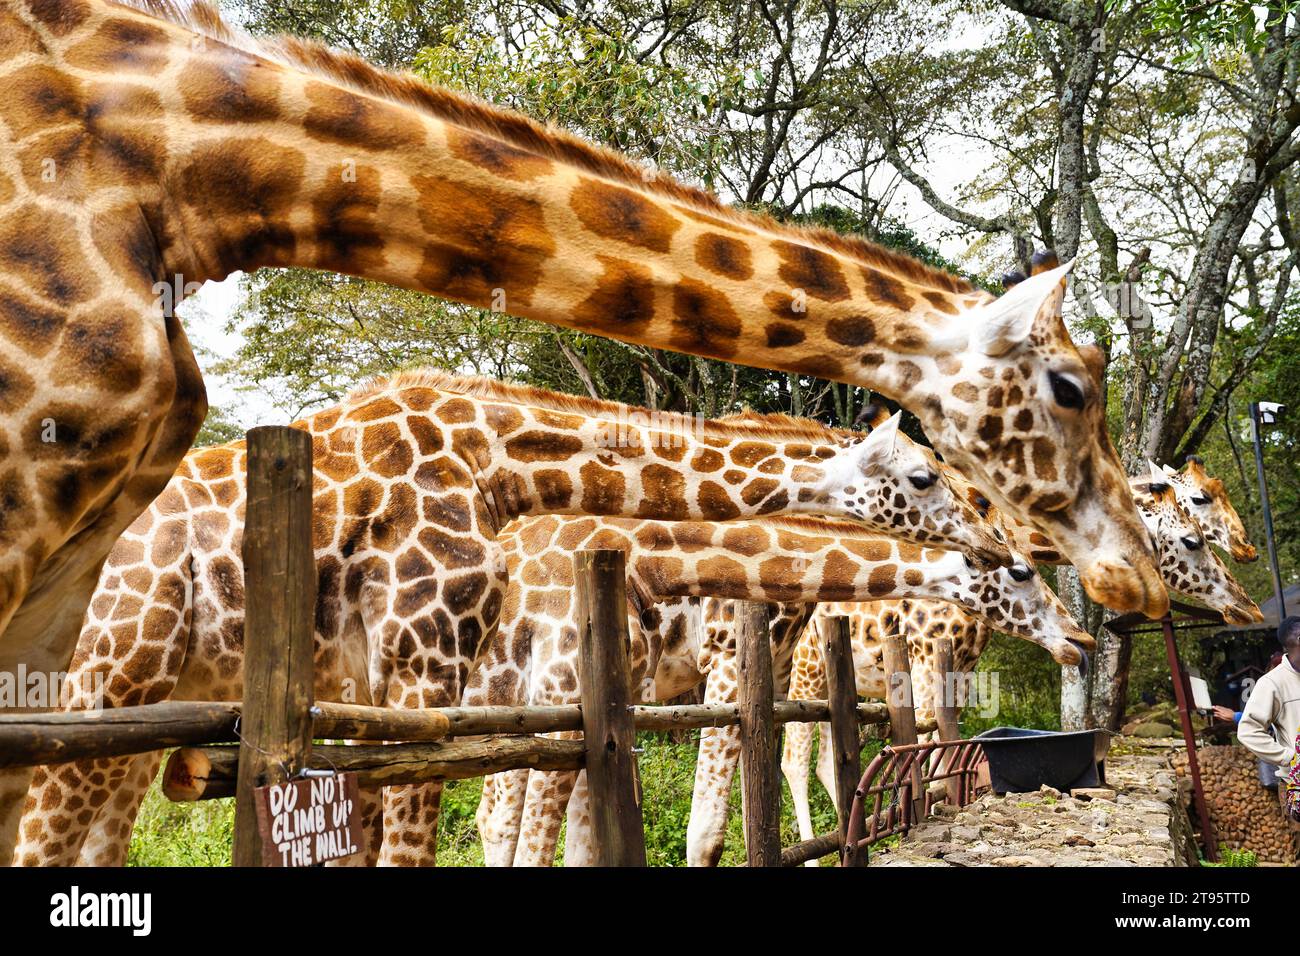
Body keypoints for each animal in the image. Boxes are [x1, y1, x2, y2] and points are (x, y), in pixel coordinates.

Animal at [12, 368, 1013, 866]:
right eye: (925, 476)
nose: (999, 547)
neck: (493, 456)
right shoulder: (430, 665)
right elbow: (699, 827)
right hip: (108, 675)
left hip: (157, 702)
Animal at [468, 510, 1093, 866]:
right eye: (1022, 571)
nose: (1081, 640)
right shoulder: (726, 666)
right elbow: (707, 833)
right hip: (538, 694)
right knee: (511, 827)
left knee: (496, 817)